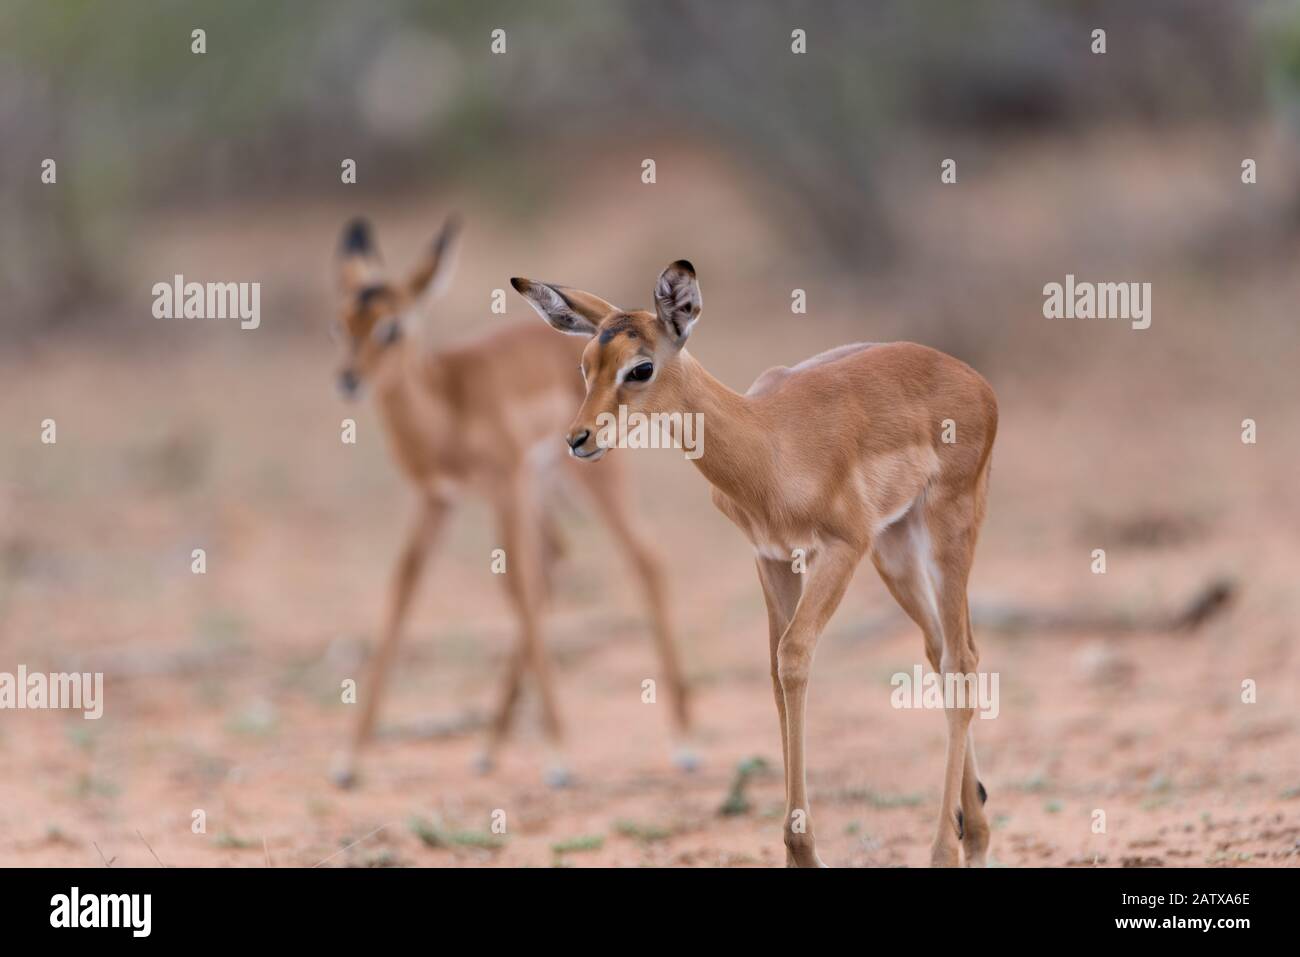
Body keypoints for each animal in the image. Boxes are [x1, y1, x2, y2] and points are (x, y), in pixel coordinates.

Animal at [327, 217, 693, 788]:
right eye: (342, 323)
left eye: (391, 327)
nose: (348, 379)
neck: (447, 402)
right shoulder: (436, 500)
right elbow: (403, 592)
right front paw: (349, 761)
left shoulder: (503, 488)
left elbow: (517, 589)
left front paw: (559, 757)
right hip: (546, 487)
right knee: (555, 563)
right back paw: (488, 746)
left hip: (586, 478)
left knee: (643, 559)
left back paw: (682, 743)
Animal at [514, 261, 998, 867]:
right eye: (585, 364)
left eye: (640, 367)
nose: (579, 439)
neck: (770, 441)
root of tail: (977, 382)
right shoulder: (772, 559)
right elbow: (774, 671)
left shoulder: (841, 548)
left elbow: (794, 658)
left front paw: (805, 850)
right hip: (896, 547)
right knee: (938, 651)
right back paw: (974, 829)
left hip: (948, 526)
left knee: (963, 657)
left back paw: (948, 848)